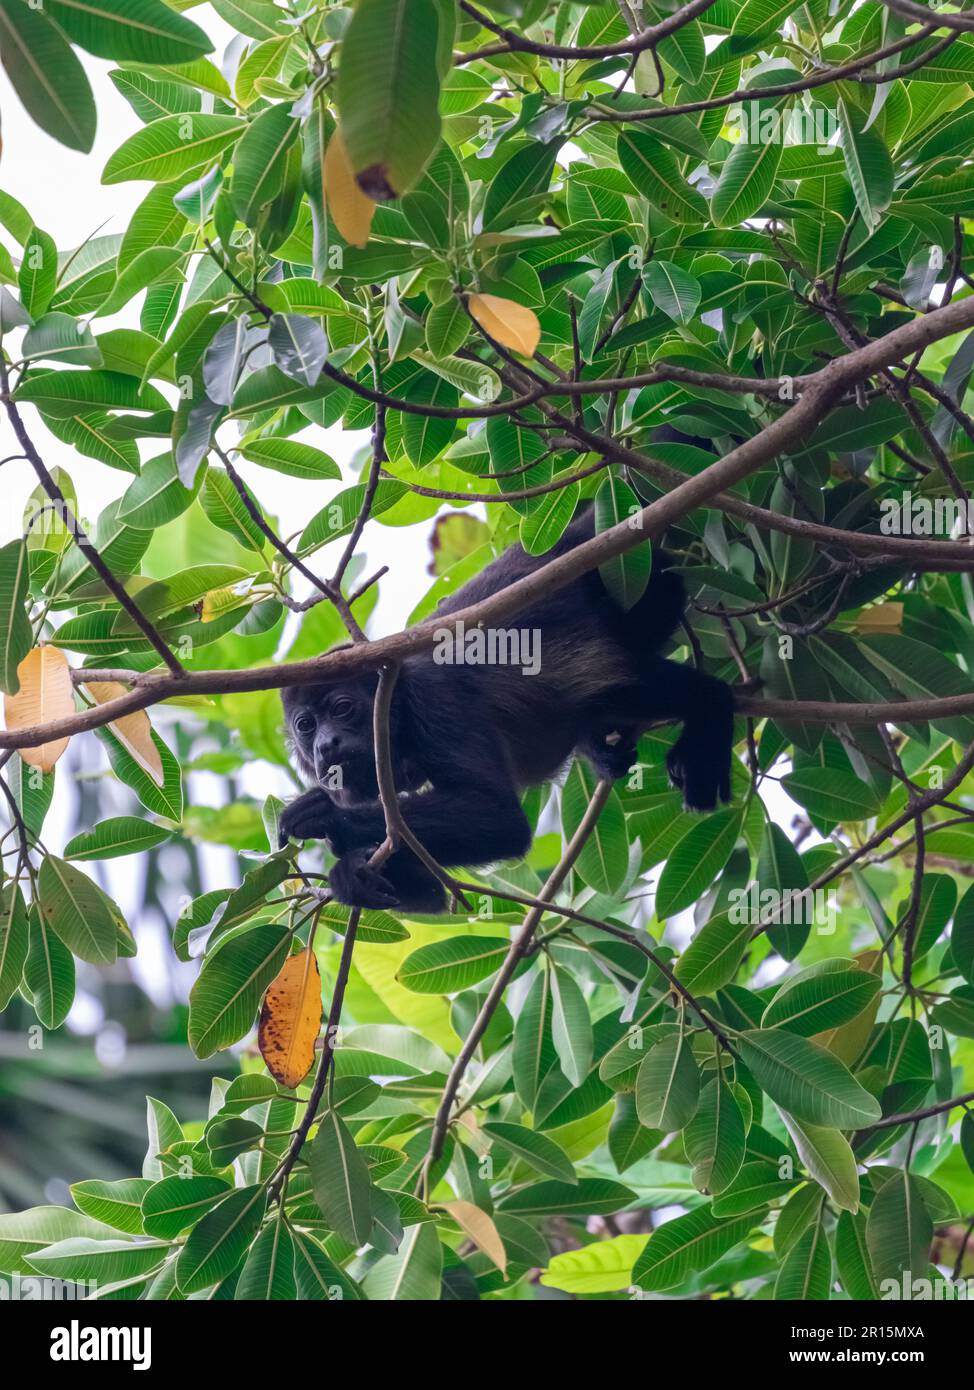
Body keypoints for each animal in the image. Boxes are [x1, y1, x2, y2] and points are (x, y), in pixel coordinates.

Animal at [279, 505, 735, 912]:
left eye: (342, 709)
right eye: (306, 726)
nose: (325, 744)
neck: (397, 708)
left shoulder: (436, 702)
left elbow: (499, 818)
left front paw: (325, 815)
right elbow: (434, 896)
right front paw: (350, 874)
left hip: (643, 584)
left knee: (622, 685)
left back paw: (710, 714)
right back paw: (602, 748)